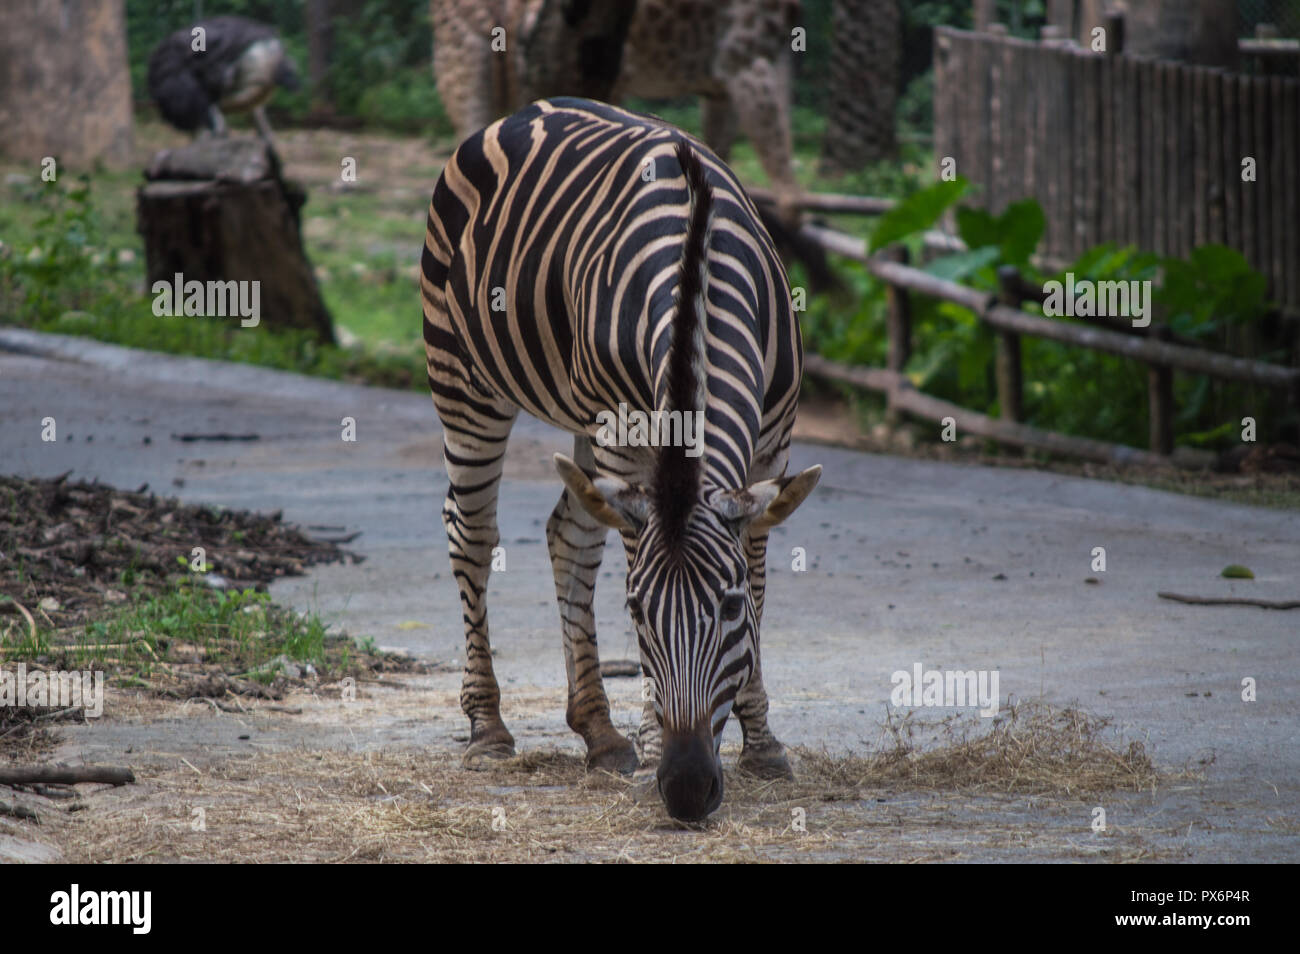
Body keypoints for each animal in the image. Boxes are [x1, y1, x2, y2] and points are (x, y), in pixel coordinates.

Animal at [421, 98, 820, 821]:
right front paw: (652, 738)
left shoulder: (770, 445)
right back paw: (488, 728)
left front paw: (763, 743)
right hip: (463, 378)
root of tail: (524, 109)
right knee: (472, 532)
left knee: (567, 532)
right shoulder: (629, 445)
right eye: (635, 612)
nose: (686, 788)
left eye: (728, 609)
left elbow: (757, 577)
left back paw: (600, 734)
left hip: (583, 420)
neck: (699, 278)